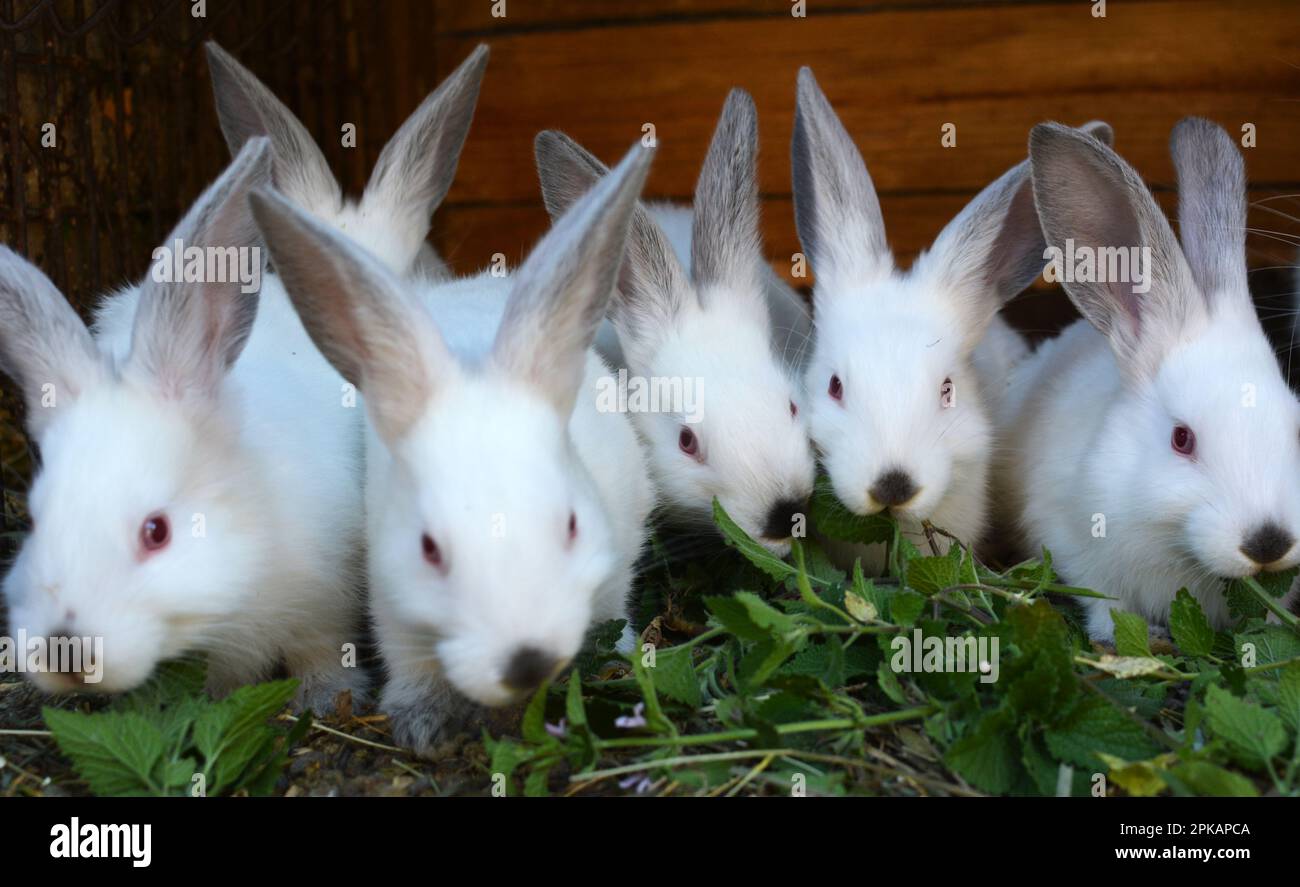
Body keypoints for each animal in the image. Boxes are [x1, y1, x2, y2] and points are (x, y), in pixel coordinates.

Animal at [0, 139, 367, 711]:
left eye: (157, 532)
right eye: (35, 522)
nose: (67, 652)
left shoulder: (325, 597)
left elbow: (321, 648)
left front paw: (326, 698)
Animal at [249, 143, 657, 756]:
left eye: (571, 525)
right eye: (430, 549)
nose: (526, 661)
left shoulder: (614, 565)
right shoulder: (392, 601)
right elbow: (411, 664)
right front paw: (420, 723)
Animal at [995, 118, 1300, 641]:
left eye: (1296, 426)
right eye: (1181, 439)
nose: (1268, 543)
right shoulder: (1073, 543)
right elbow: (1103, 601)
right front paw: (1122, 636)